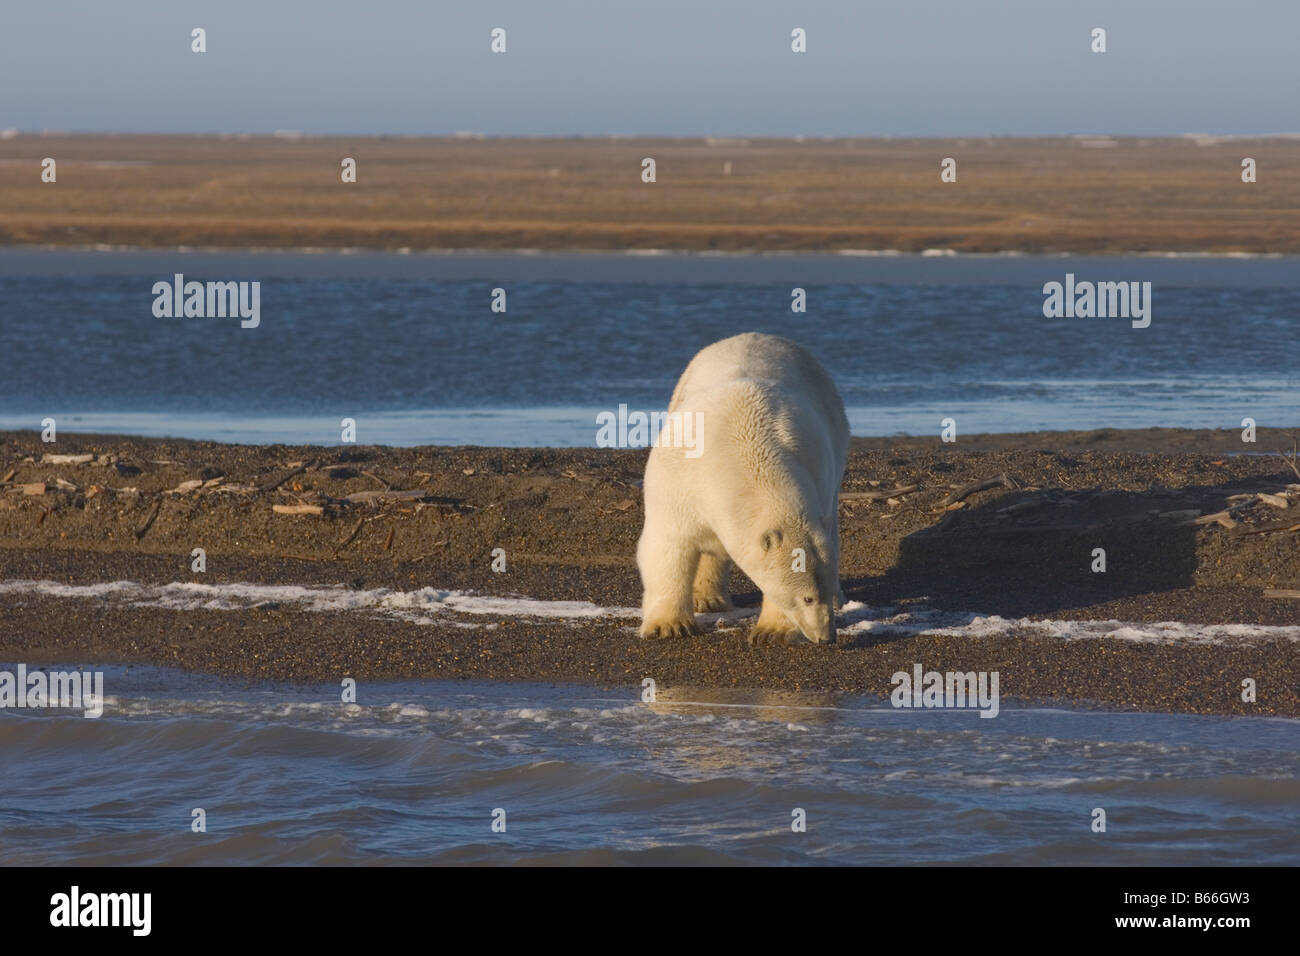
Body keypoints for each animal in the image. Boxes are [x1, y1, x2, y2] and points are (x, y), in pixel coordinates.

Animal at [636, 332, 850, 646]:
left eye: (820, 593)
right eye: (807, 598)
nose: (827, 637)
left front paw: (773, 631)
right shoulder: (678, 480)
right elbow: (669, 544)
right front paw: (670, 625)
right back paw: (707, 599)